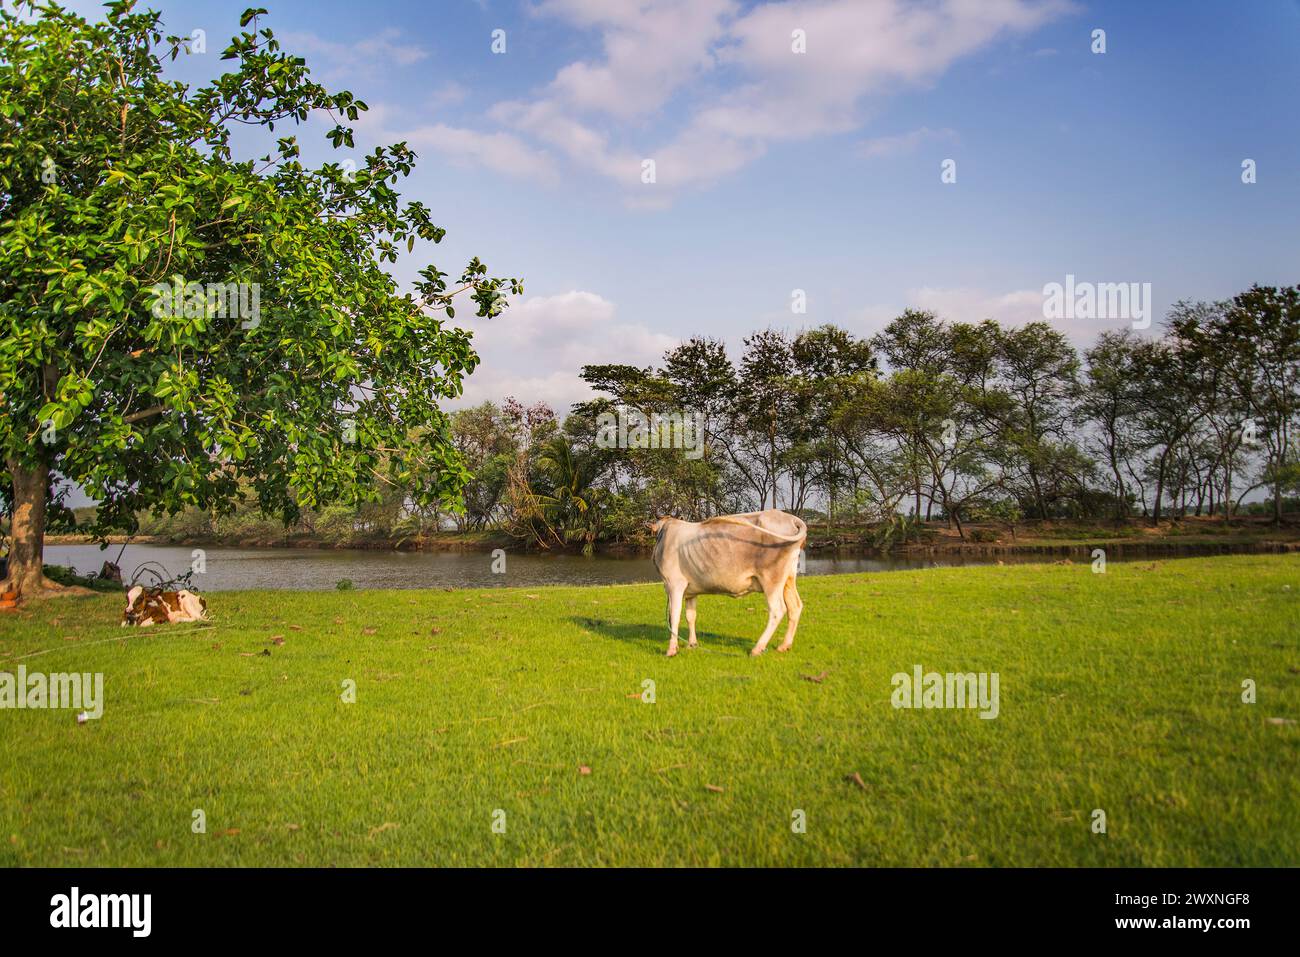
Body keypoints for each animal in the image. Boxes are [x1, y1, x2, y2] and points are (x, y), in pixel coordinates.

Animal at [650, 509, 807, 658]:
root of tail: (789, 518)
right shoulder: (691, 591)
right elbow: (690, 616)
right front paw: (692, 644)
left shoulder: (674, 584)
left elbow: (674, 617)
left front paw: (672, 649)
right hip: (788, 579)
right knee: (795, 606)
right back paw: (784, 646)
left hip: (771, 580)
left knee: (777, 610)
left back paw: (757, 648)